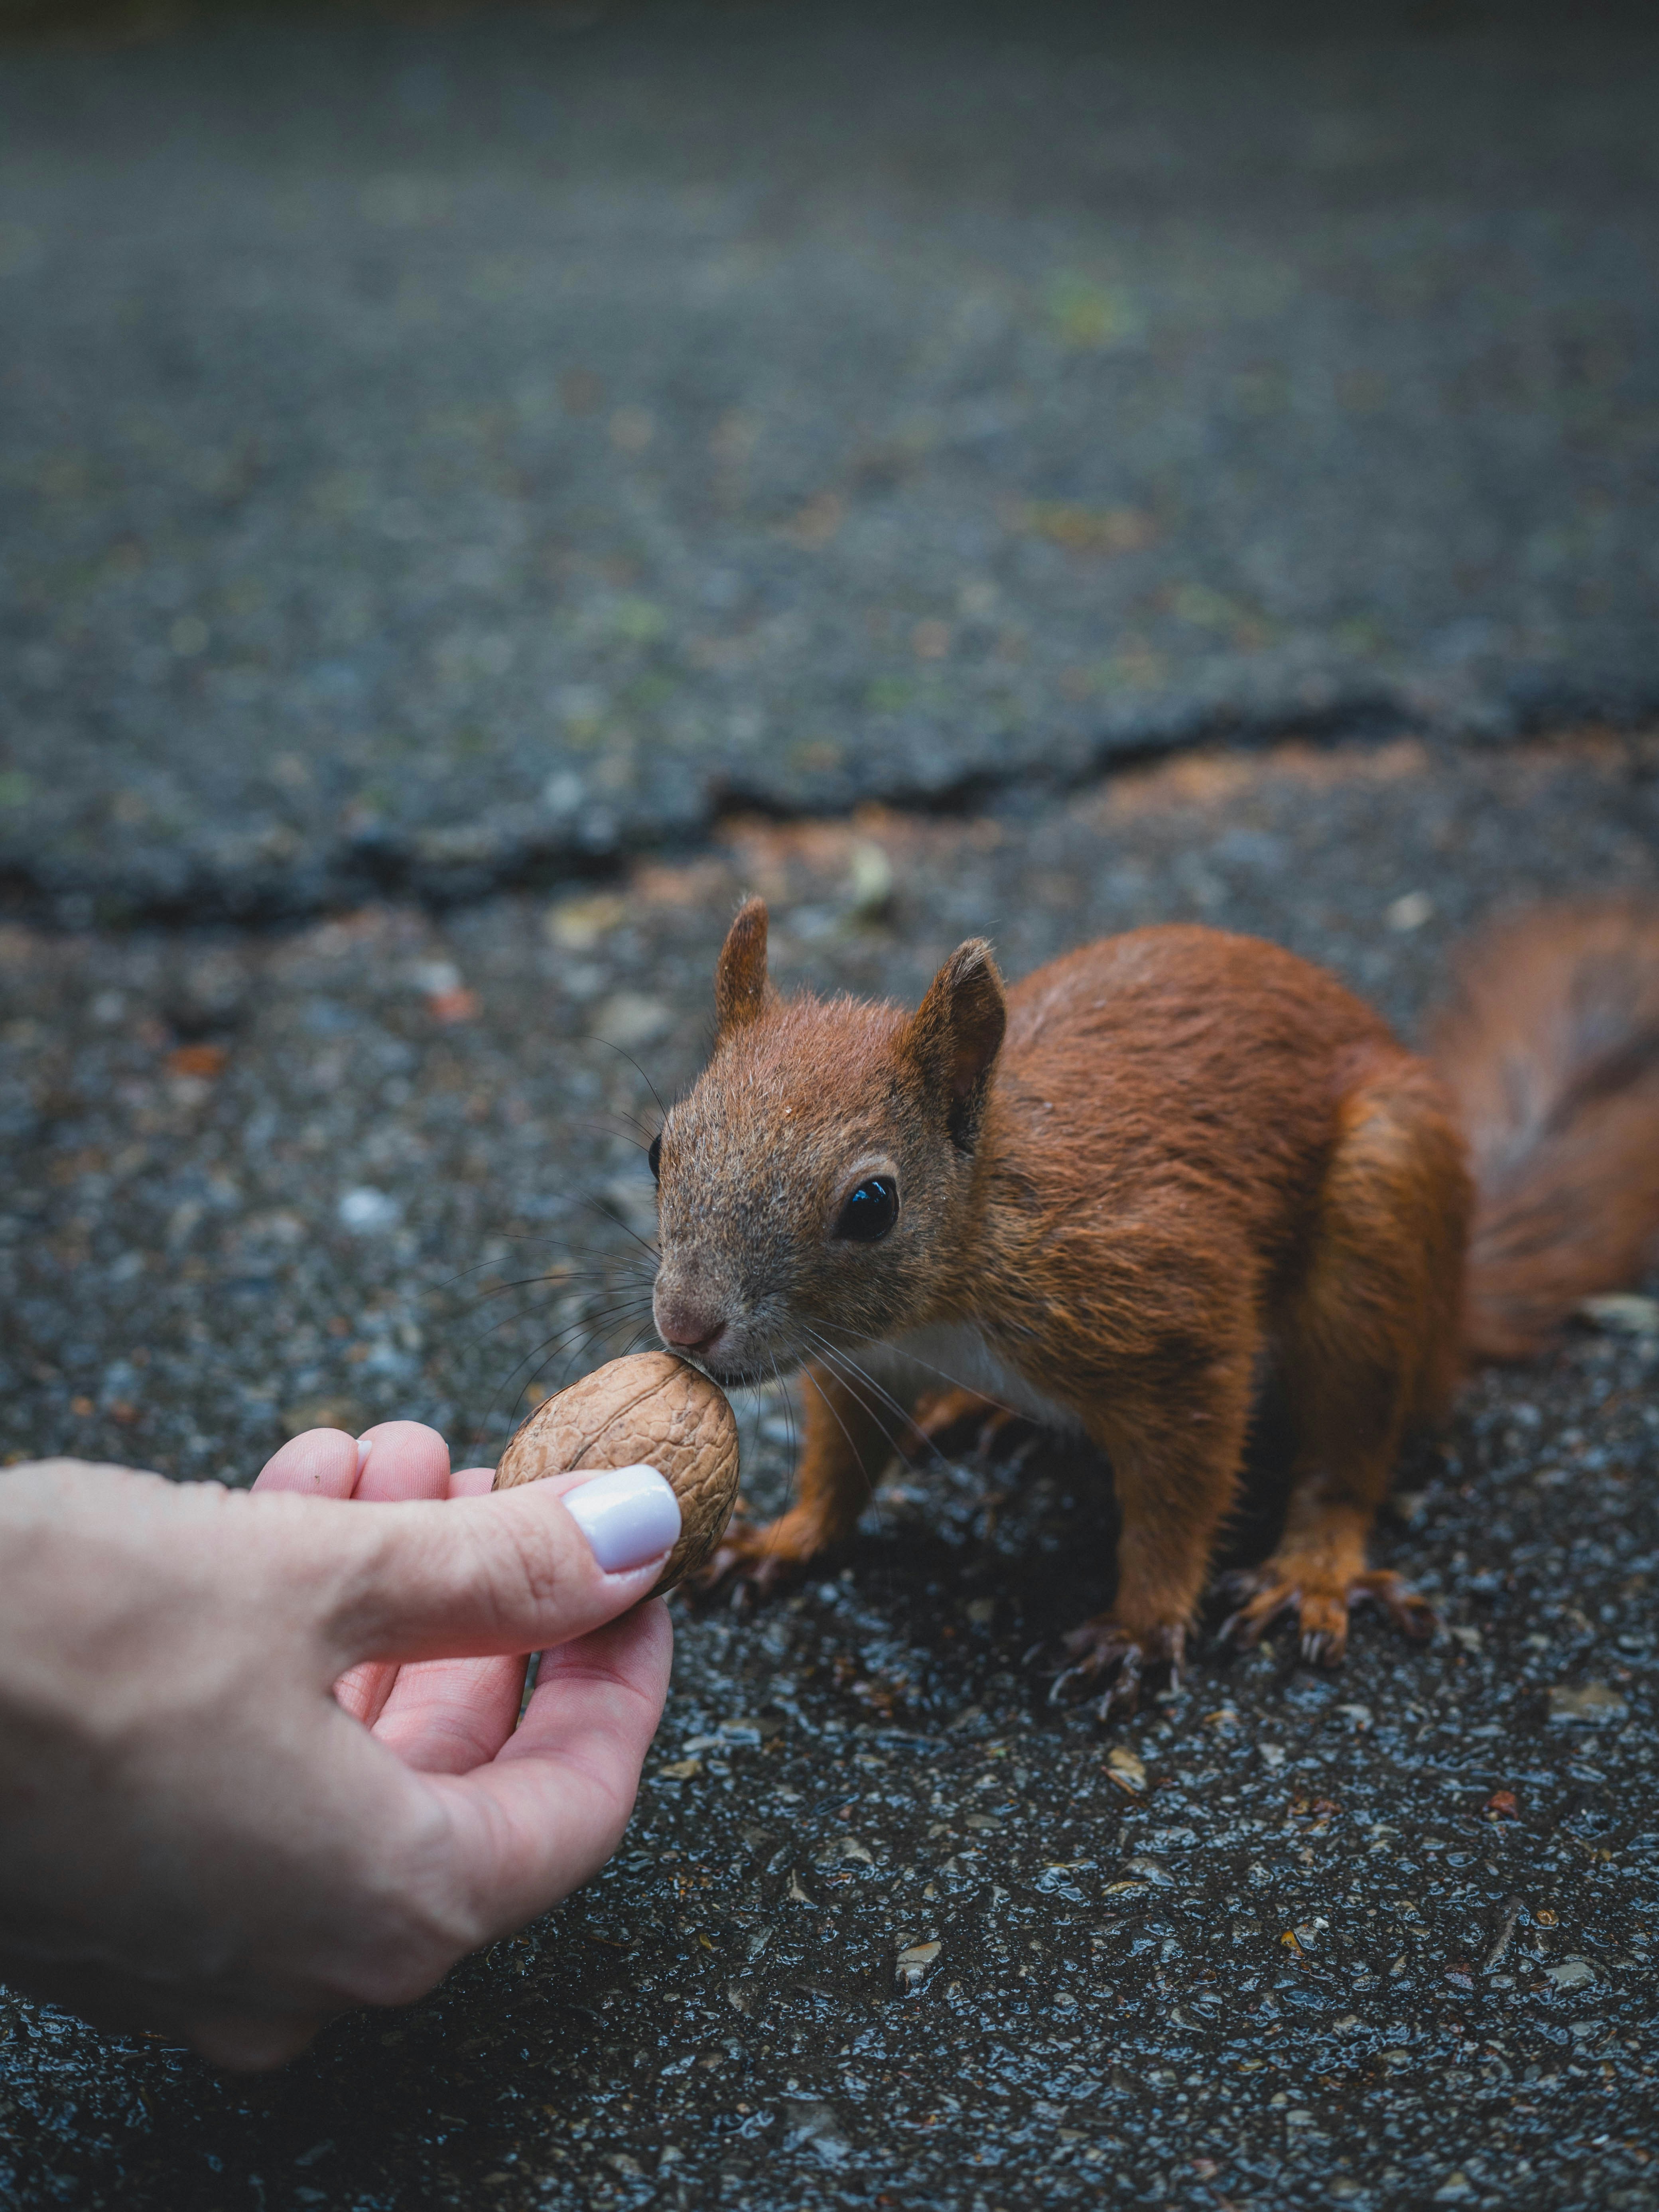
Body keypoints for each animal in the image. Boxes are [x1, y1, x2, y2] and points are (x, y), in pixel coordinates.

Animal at [647, 894, 1659, 1716]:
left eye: (871, 1204)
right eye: (660, 1146)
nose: (686, 1324)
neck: (946, 1297)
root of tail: (1455, 1305)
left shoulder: (1169, 1313)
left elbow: (1182, 1491)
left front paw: (1140, 1625)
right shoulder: (865, 1361)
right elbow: (841, 1462)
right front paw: (786, 1538)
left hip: (1380, 1226)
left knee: (1351, 1446)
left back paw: (1313, 1569)